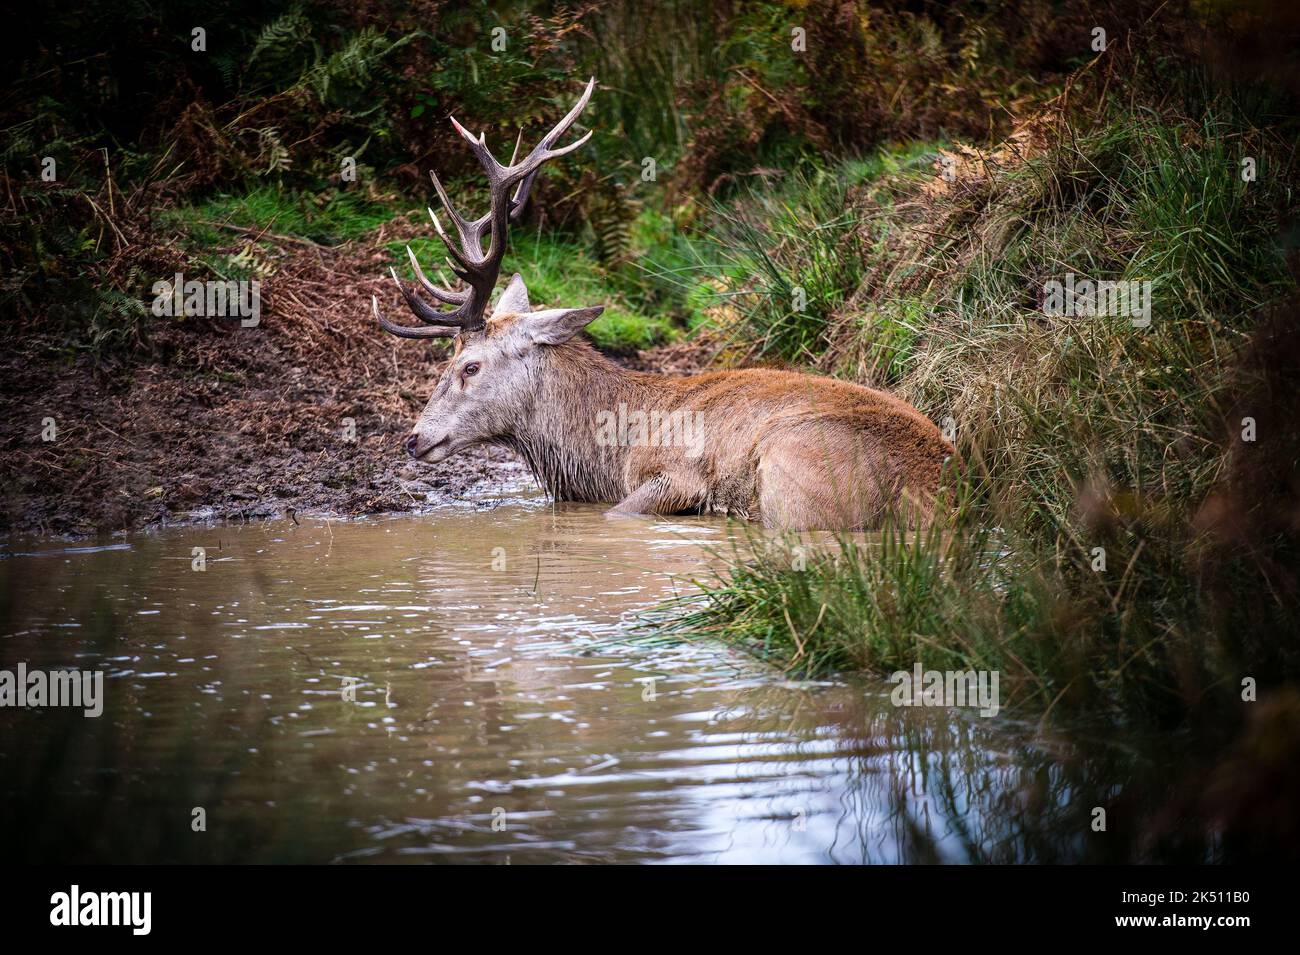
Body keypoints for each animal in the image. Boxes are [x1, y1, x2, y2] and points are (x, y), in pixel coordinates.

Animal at [372, 79, 955, 530]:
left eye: (470, 366)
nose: (414, 440)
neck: (605, 455)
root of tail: (940, 491)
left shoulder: (678, 475)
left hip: (794, 478)